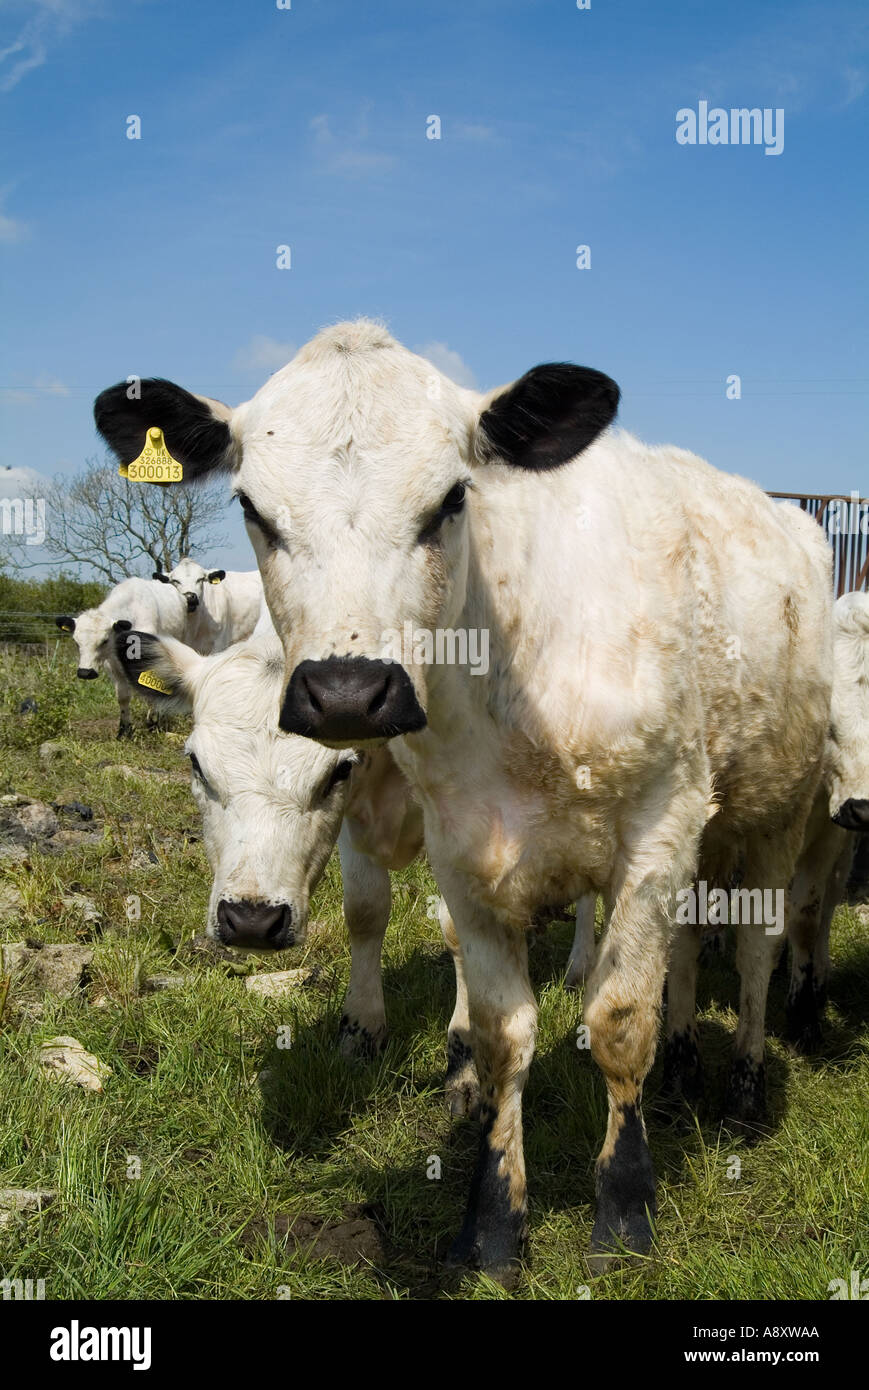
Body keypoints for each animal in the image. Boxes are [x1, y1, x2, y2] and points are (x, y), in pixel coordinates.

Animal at [55, 576, 189, 737]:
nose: (85, 672)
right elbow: (123, 697)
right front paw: (124, 730)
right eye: (76, 642)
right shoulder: (112, 665)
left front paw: (153, 723)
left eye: (105, 640)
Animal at [95, 320, 833, 1280]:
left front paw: (623, 1211)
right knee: (682, 950)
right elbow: (497, 1030)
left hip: (778, 811)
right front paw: (489, 1220)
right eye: (253, 507)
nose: (345, 690)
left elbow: (618, 1020)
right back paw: (678, 1073)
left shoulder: (657, 828)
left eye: (450, 499)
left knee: (751, 947)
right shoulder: (465, 849)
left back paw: (739, 1081)